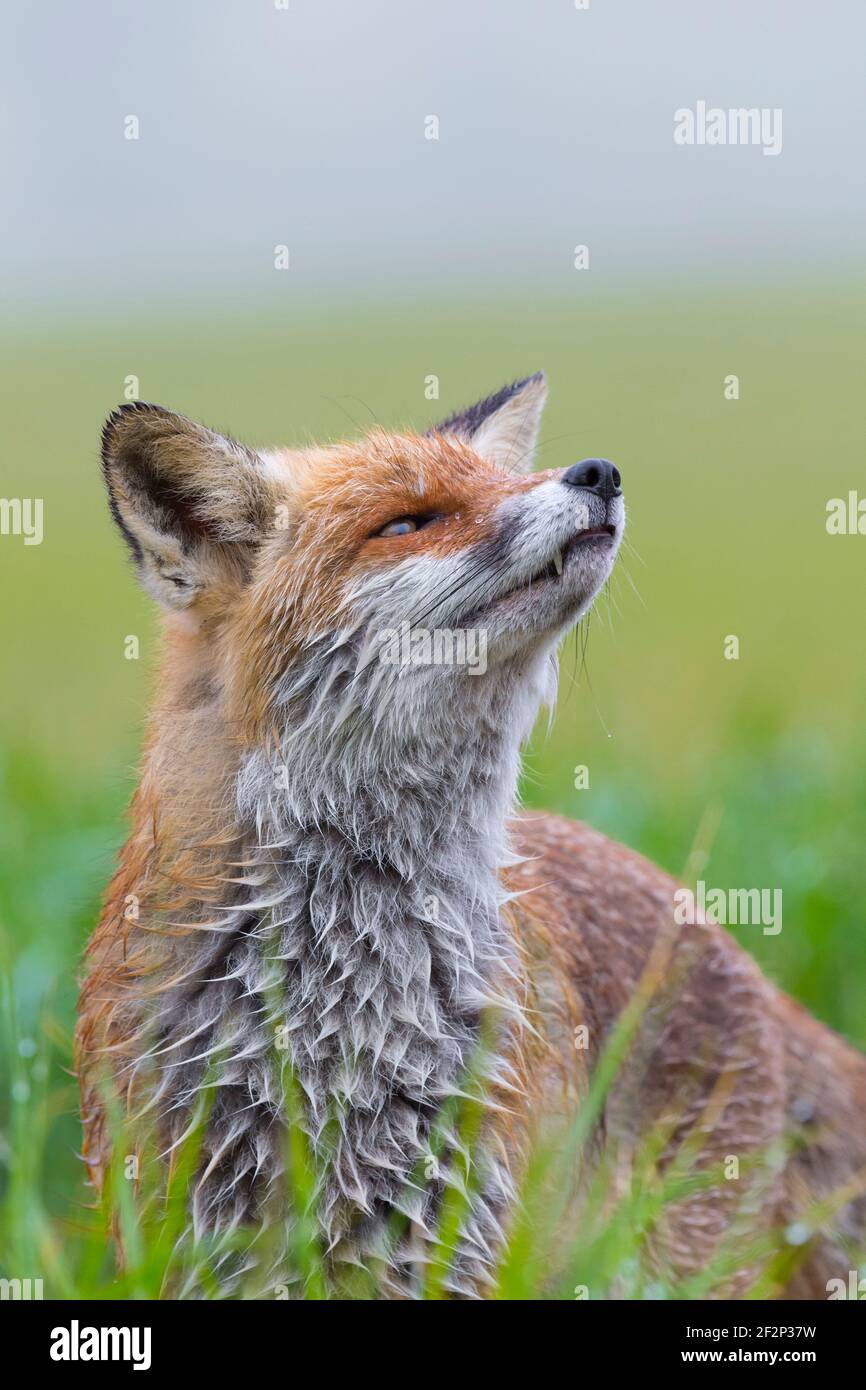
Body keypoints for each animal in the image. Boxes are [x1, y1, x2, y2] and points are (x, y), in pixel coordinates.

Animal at [77, 373, 866, 1298]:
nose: (599, 472)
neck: (350, 1002)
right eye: (407, 523)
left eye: (498, 482)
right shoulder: (196, 1235)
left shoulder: (456, 1228)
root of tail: (735, 952)